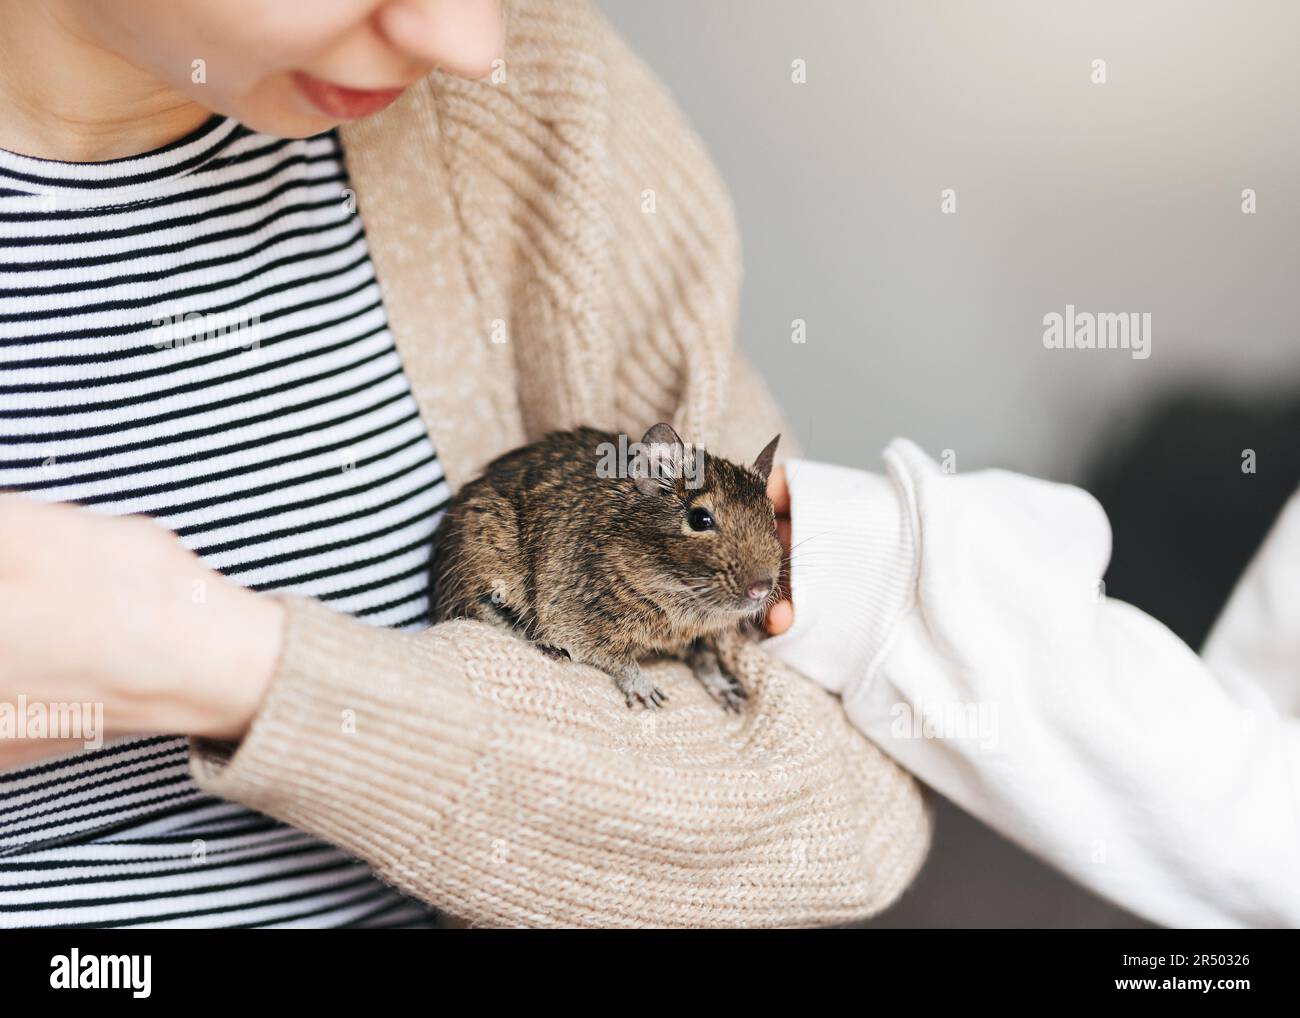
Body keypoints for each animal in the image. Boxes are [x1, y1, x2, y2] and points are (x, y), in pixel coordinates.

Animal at [429, 423, 783, 709]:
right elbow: (617, 659)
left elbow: (706, 659)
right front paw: (644, 689)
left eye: (772, 517)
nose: (761, 589)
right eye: (700, 519)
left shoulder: (699, 637)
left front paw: (726, 689)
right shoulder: (582, 620)